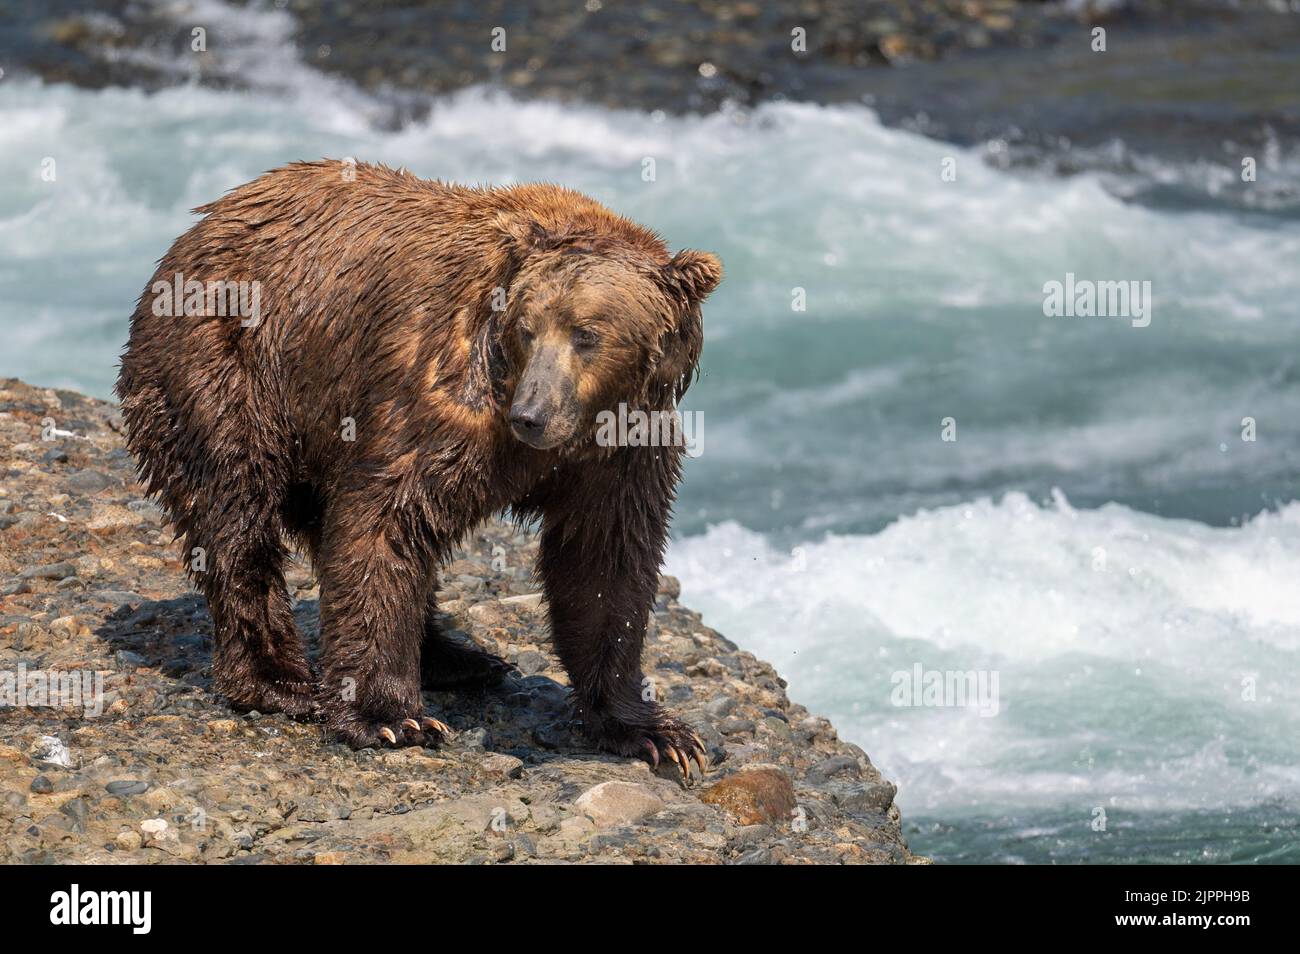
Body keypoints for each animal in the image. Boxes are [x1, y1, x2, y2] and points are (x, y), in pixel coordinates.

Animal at [115, 160, 721, 777]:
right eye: (528, 328)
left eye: (587, 334)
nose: (531, 415)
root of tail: (195, 231)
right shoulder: (438, 399)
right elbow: (385, 522)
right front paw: (390, 717)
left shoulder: (626, 450)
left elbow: (603, 563)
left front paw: (651, 731)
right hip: (230, 368)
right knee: (237, 515)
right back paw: (280, 681)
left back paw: (459, 657)